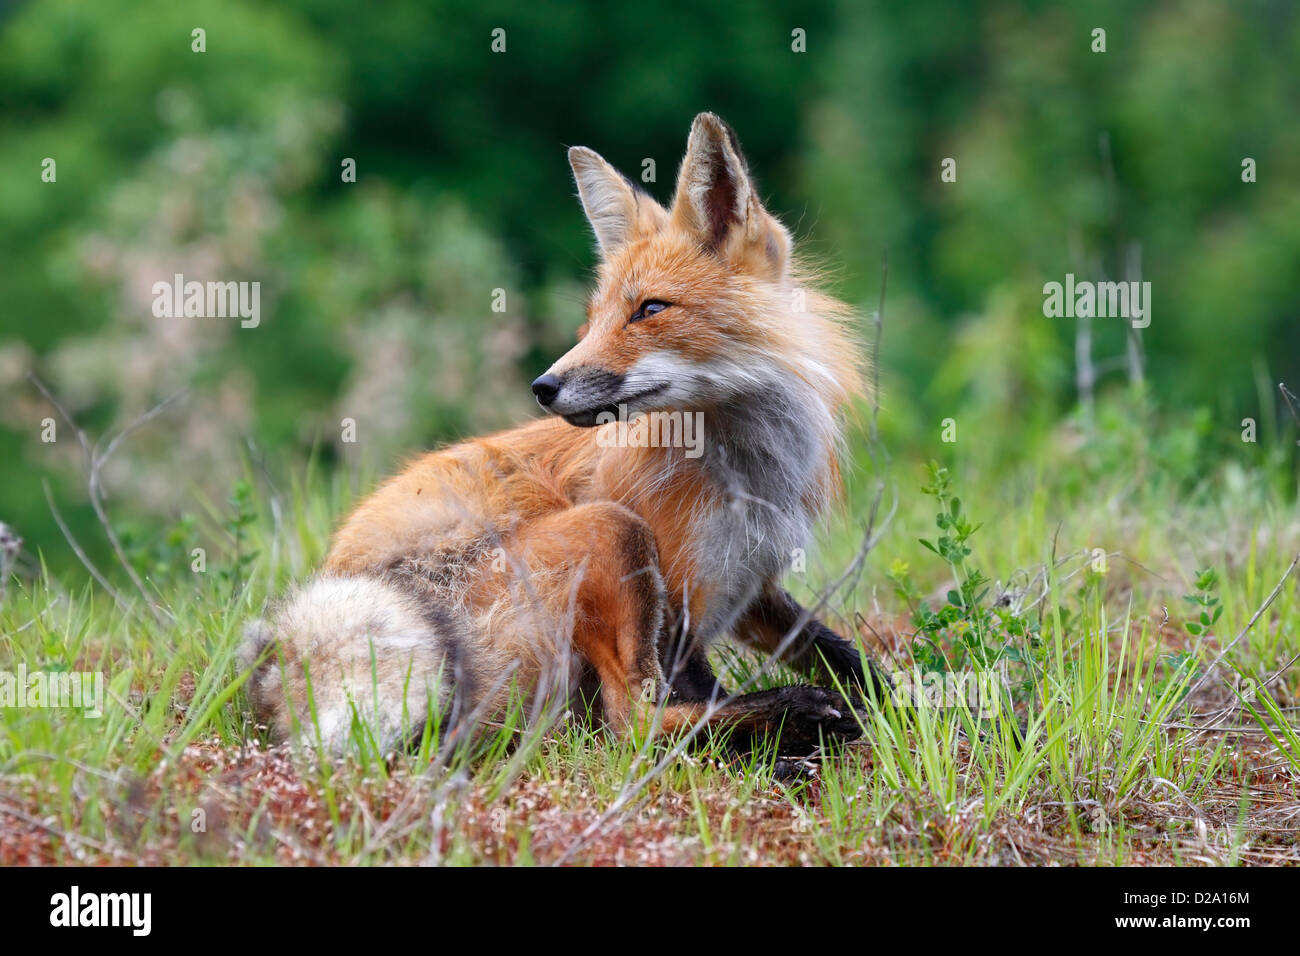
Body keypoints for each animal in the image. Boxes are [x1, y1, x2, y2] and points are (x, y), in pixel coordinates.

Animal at [241, 112, 890, 757]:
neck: (746, 475)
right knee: (632, 722)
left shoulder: (751, 582)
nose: (543, 386)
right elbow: (694, 693)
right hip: (614, 529)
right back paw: (791, 720)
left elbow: (836, 650)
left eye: (650, 309)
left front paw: (900, 700)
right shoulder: (679, 599)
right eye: (592, 320)